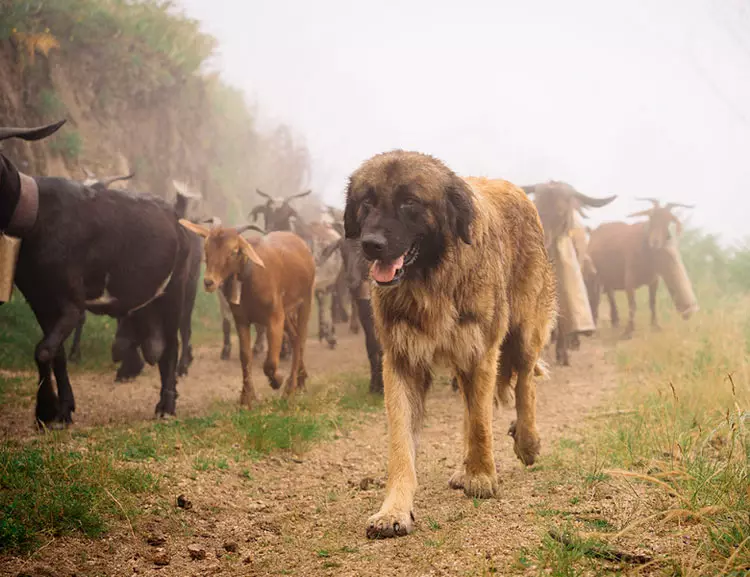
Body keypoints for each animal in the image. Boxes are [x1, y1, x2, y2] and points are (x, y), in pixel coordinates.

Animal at [0, 120, 200, 428]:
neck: (39, 216)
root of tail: (177, 215)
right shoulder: (39, 300)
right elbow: (55, 353)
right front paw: (62, 410)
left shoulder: (71, 301)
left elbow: (43, 350)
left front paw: (45, 411)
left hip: (175, 290)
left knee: (171, 347)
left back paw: (166, 405)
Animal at [180, 220, 318, 404]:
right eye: (206, 248)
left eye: (233, 251)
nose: (209, 282)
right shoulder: (241, 320)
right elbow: (245, 356)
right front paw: (246, 398)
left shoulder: (274, 317)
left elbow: (270, 363)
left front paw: (277, 381)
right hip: (287, 311)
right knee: (295, 337)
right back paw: (300, 382)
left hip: (305, 300)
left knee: (300, 339)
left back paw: (290, 388)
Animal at [346, 151, 560, 536]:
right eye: (366, 203)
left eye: (410, 203)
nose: (371, 244)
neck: (430, 283)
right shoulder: (402, 362)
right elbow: (401, 444)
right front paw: (394, 510)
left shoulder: (480, 351)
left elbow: (480, 422)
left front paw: (482, 476)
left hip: (522, 331)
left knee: (523, 383)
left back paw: (526, 440)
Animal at [588, 198, 700, 336]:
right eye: (651, 218)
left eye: (668, 220)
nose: (655, 242)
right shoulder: (629, 280)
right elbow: (632, 304)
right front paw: (629, 330)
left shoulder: (654, 280)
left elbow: (652, 302)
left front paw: (655, 325)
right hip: (597, 276)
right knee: (597, 298)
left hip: (608, 278)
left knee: (610, 296)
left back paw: (615, 322)